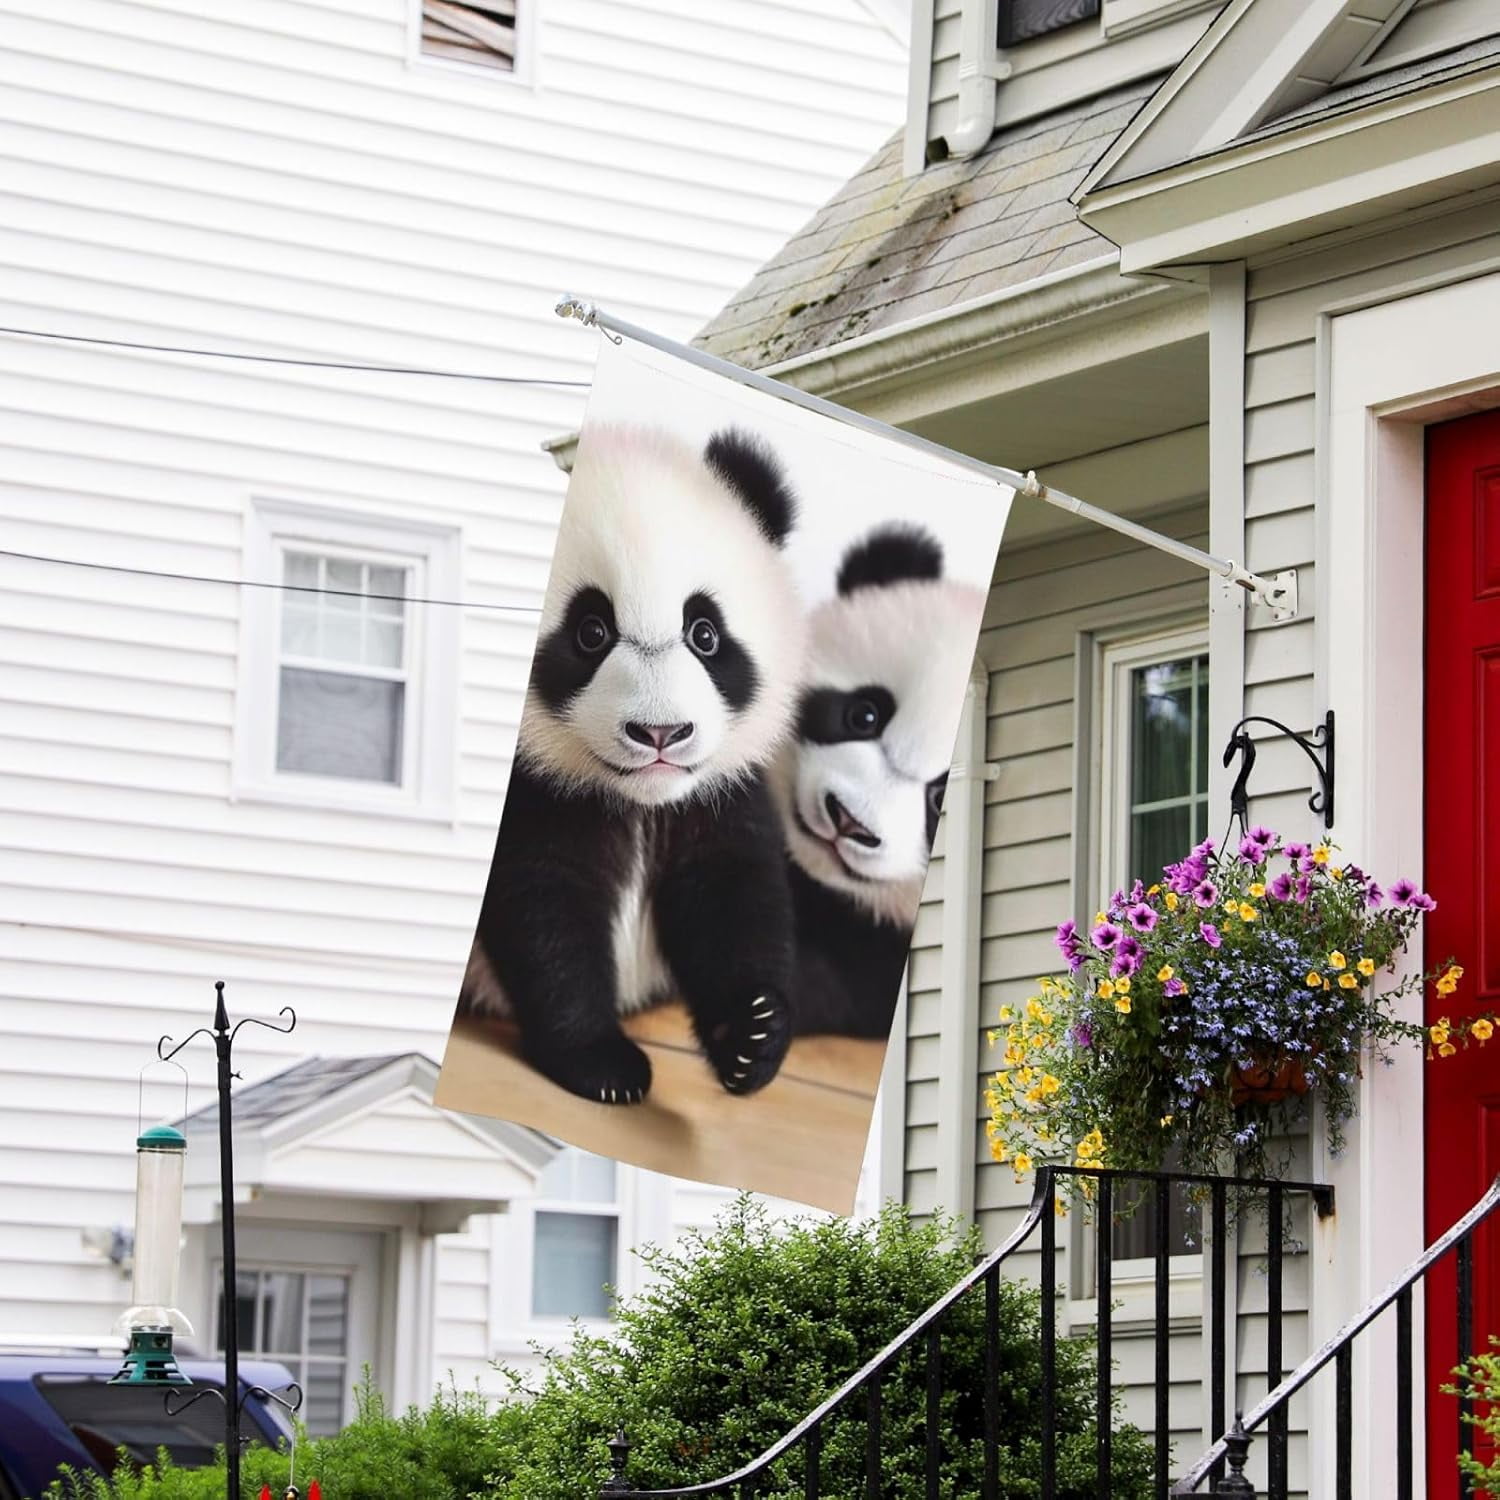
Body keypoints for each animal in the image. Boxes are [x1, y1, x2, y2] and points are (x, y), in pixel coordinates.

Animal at [459, 422, 808, 1105]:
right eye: (591, 631)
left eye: (705, 633)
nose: (660, 732)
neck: (642, 801)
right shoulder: (536, 793)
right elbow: (545, 904)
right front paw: (601, 1062)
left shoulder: (717, 793)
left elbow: (728, 890)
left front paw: (751, 1036)